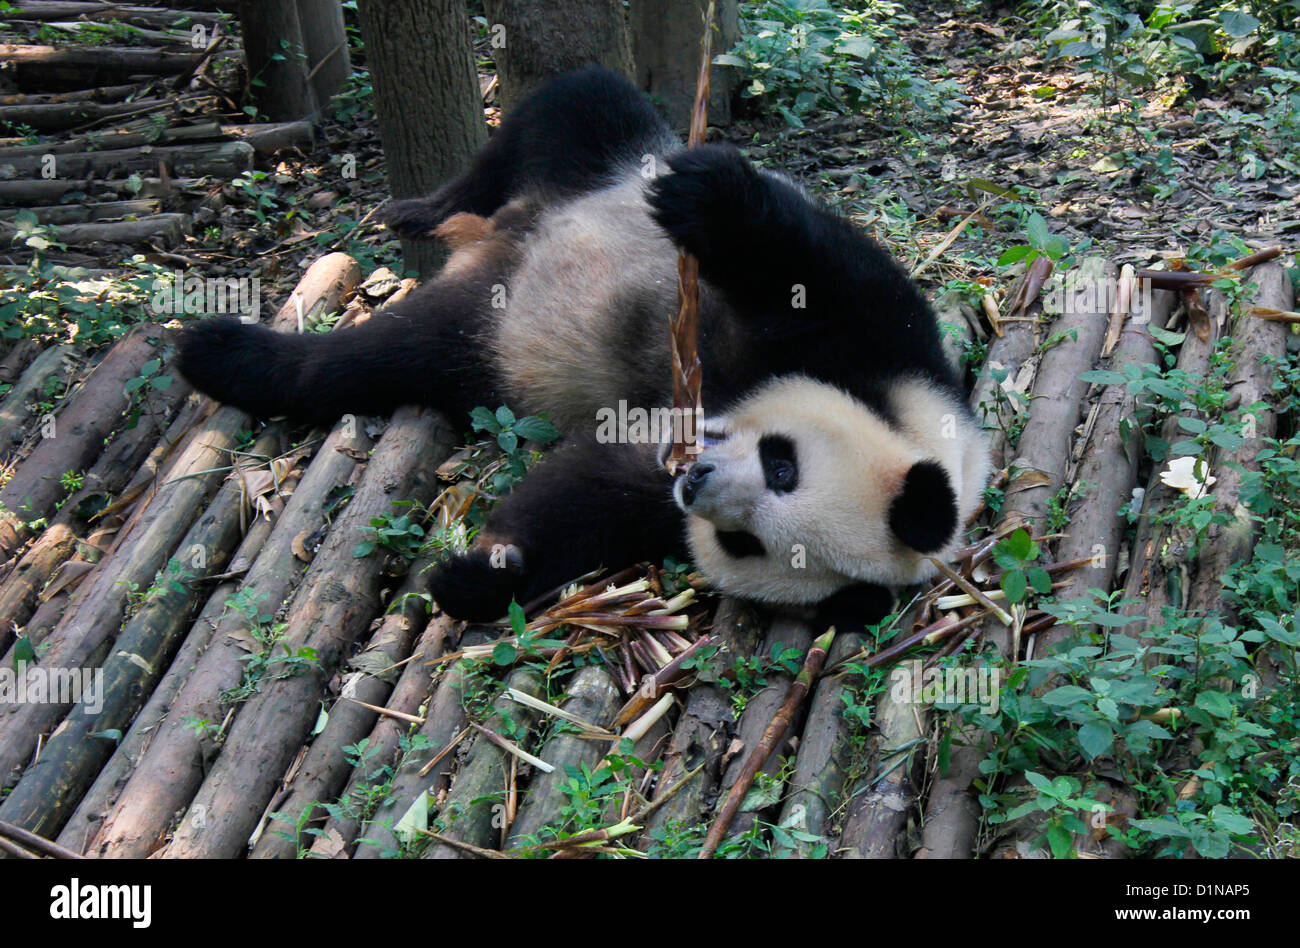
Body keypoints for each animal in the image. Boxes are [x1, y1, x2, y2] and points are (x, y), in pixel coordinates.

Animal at [177, 67, 991, 630]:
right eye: (783, 466)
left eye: (746, 544)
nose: (698, 480)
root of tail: (512, 229)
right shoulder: (883, 342)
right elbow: (801, 259)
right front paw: (710, 192)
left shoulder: (654, 488)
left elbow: (585, 498)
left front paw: (480, 576)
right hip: (600, 162)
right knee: (567, 106)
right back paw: (415, 212)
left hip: (487, 339)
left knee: (382, 359)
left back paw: (226, 354)